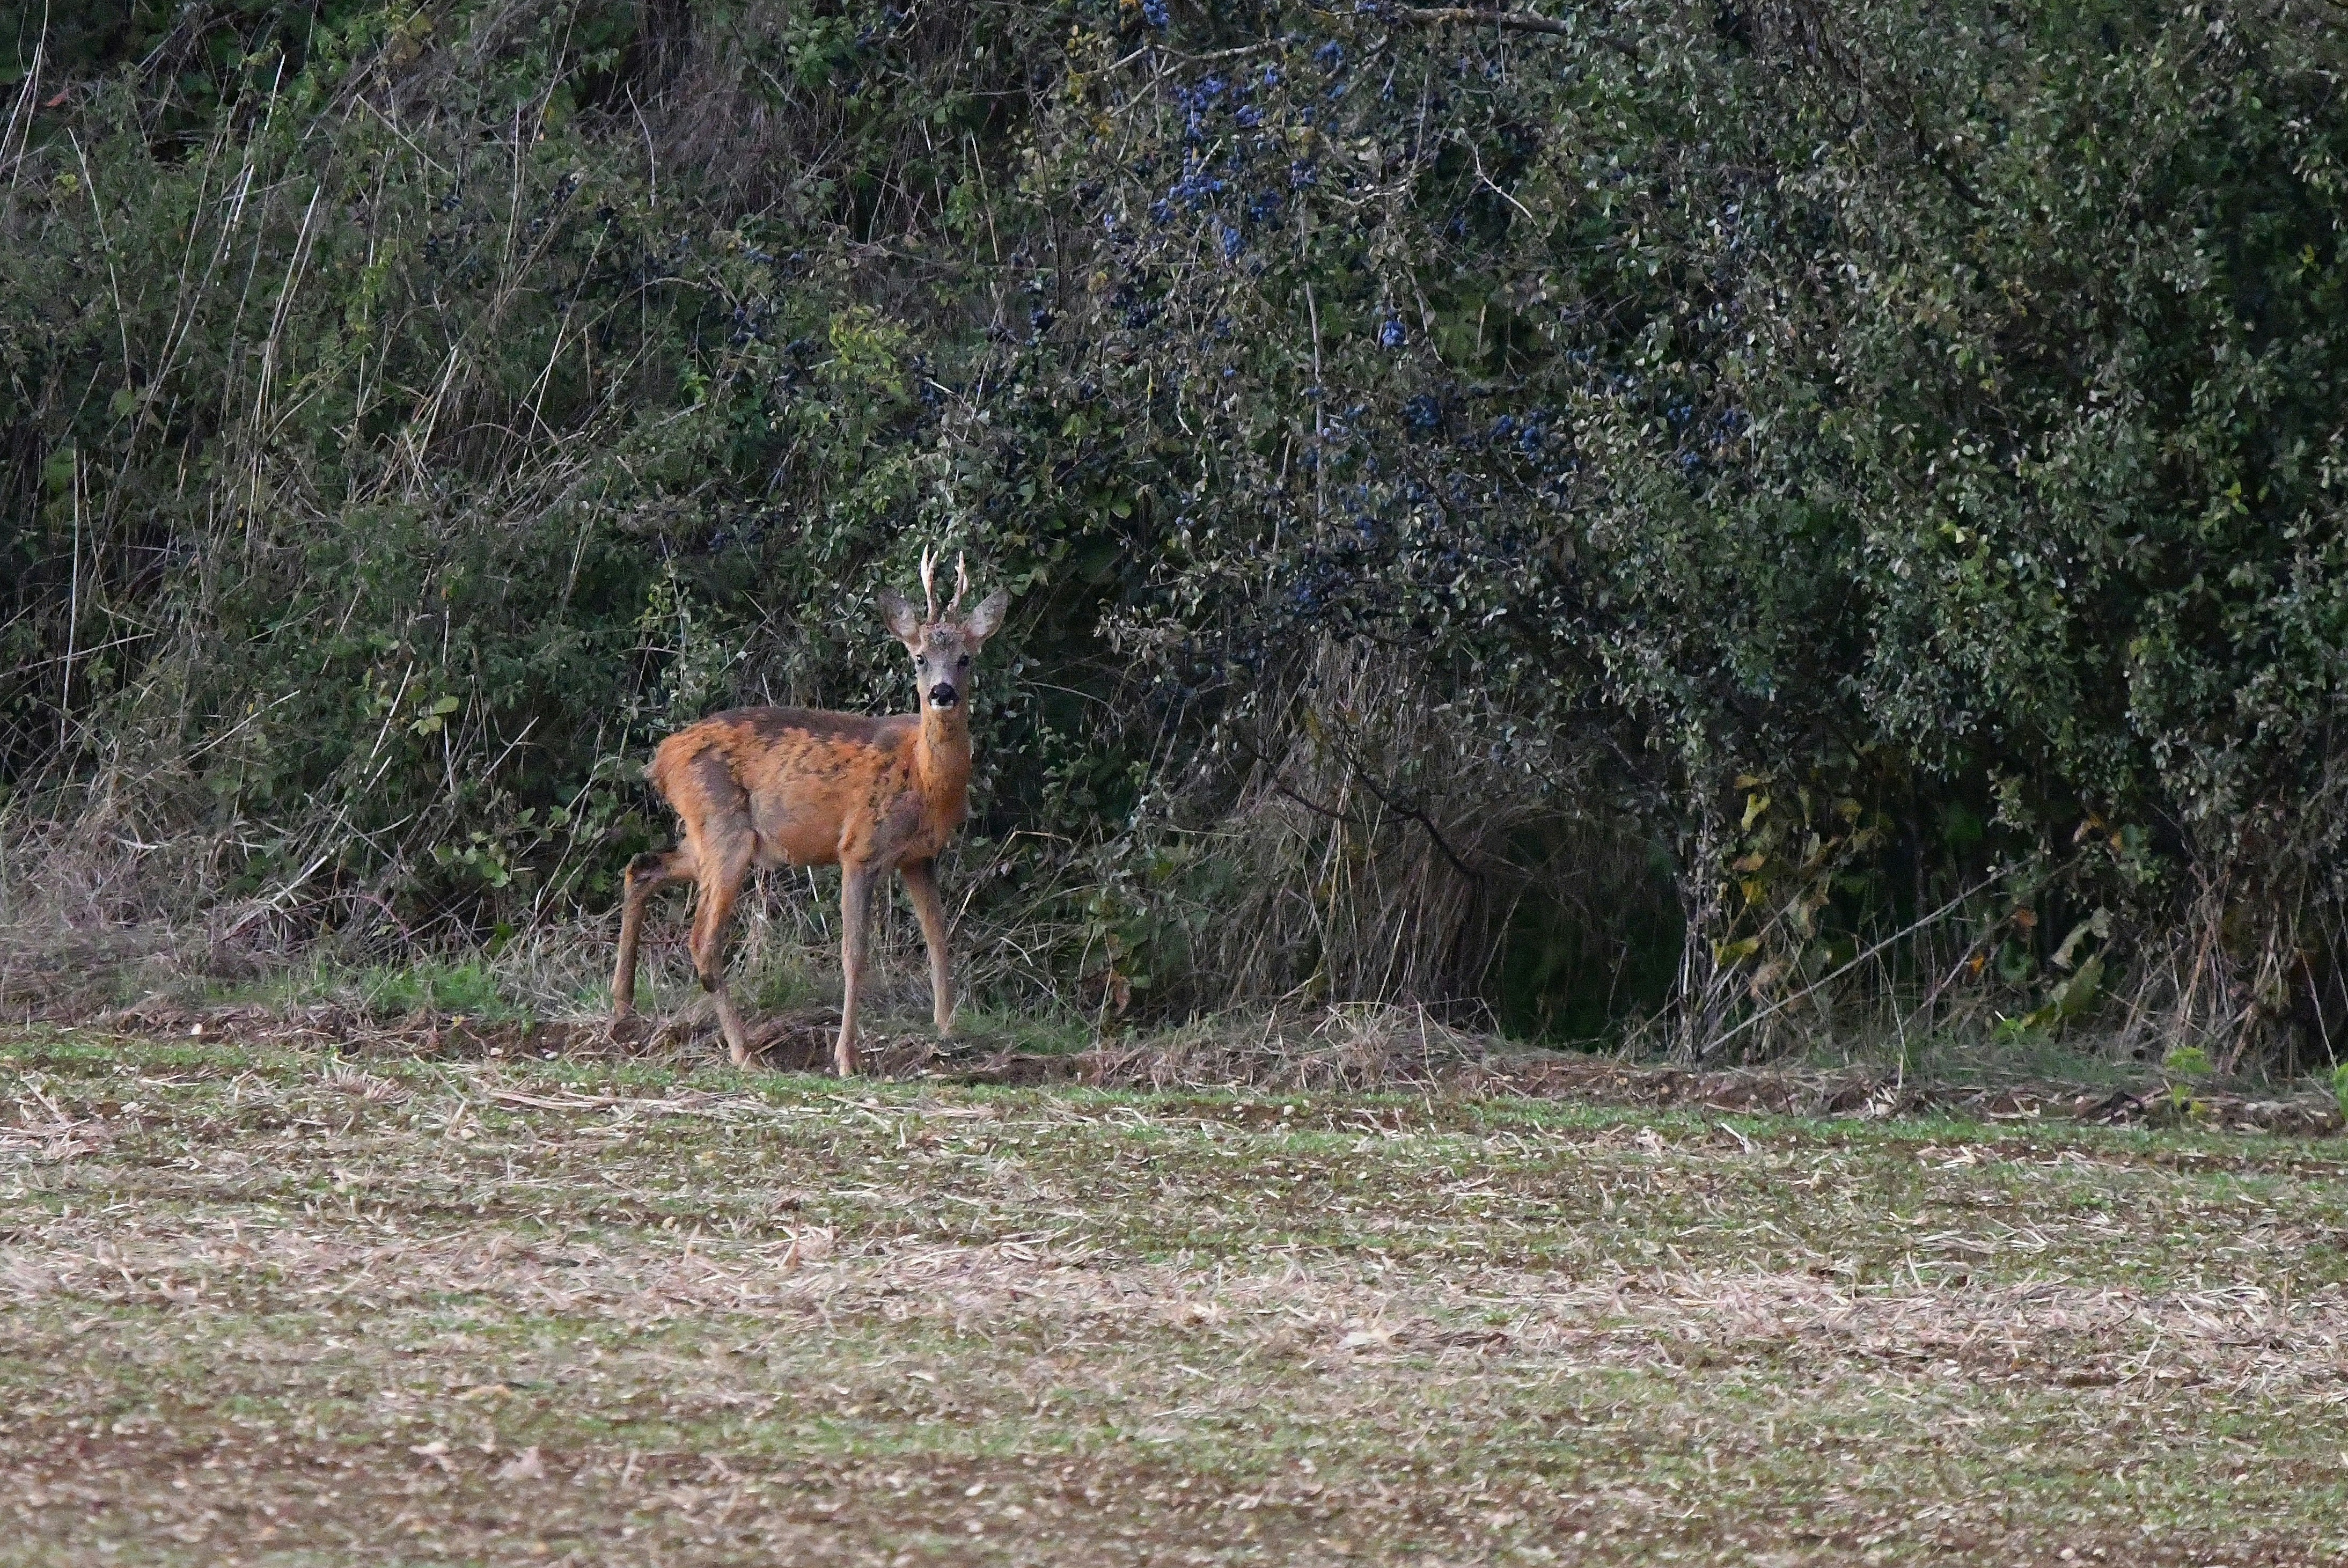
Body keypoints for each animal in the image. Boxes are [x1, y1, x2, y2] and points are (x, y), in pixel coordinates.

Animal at [611, 550, 1011, 1075]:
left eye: (966, 658)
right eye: (920, 657)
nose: (942, 693)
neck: (924, 779)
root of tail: (661, 759)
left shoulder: (919, 857)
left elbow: (939, 939)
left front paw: (947, 1030)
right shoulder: (860, 847)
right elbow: (854, 955)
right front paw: (846, 1059)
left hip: (705, 835)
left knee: (642, 867)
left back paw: (622, 1006)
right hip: (724, 829)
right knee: (703, 941)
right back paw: (743, 1052)